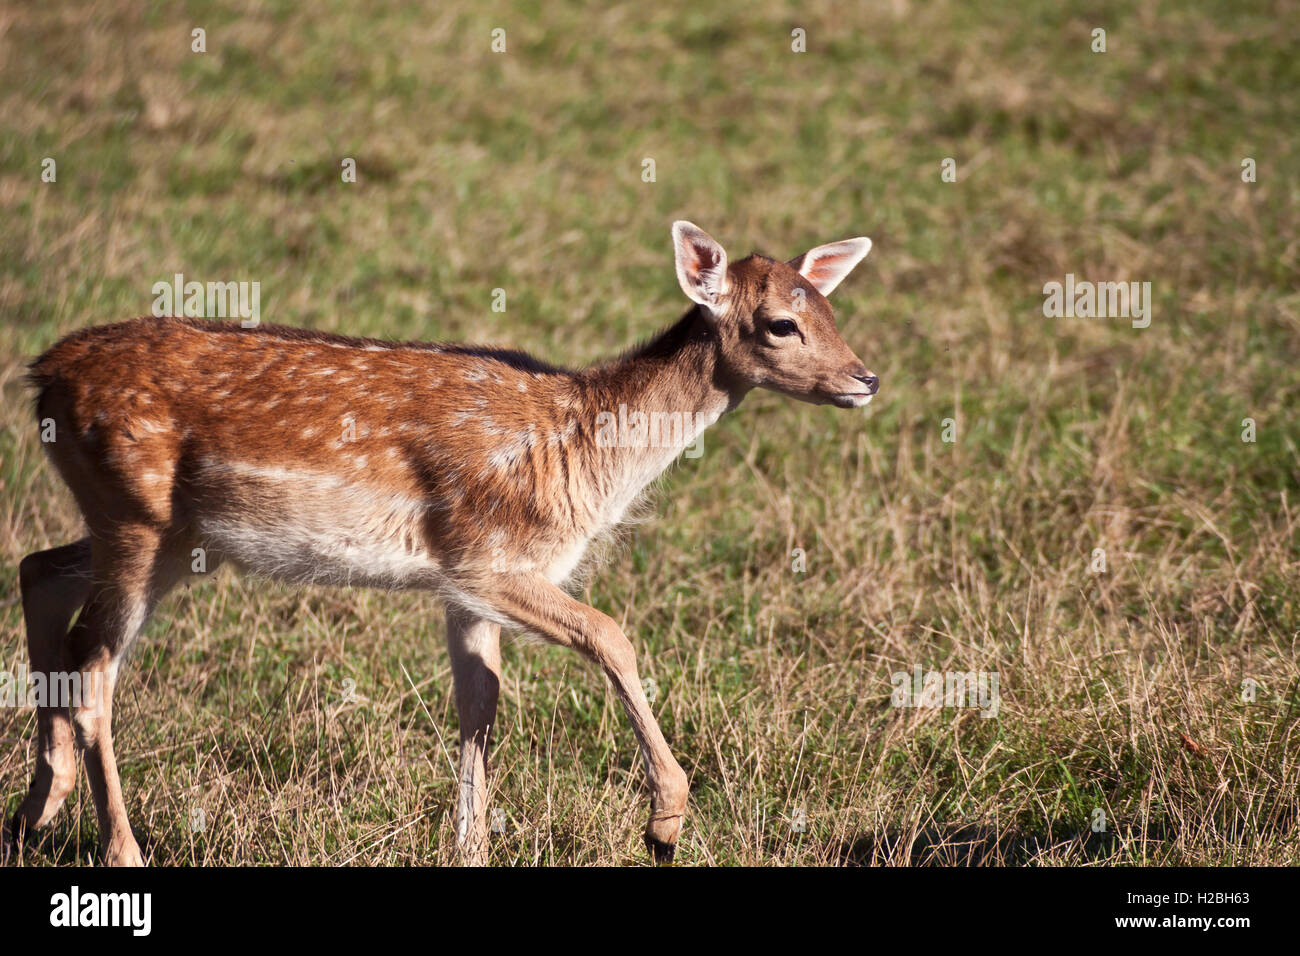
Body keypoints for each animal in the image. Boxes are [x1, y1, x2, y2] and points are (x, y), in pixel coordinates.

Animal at [10, 221, 877, 866]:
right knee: (95, 666)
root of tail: (41, 376)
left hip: (161, 535)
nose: (865, 379)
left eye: (833, 312)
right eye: (781, 323)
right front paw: (664, 822)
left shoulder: (465, 587)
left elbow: (480, 703)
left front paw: (471, 847)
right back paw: (118, 847)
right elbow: (610, 634)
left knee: (39, 569)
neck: (581, 456)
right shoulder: (482, 553)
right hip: (138, 517)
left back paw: (37, 805)